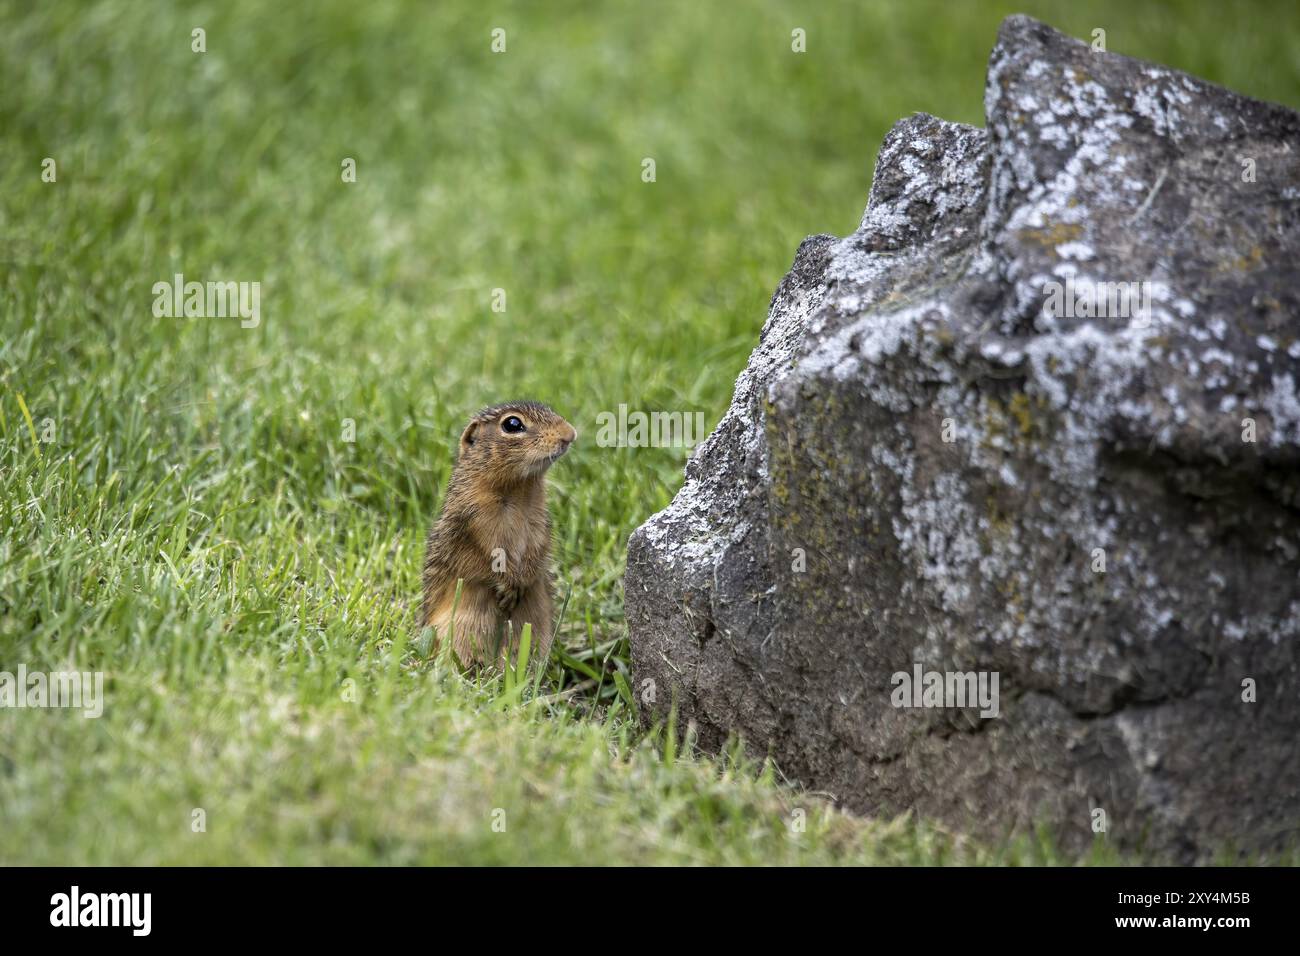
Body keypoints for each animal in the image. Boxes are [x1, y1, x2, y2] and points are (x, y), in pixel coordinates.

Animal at [420, 401, 576, 669]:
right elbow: (489, 554)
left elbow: (538, 549)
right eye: (512, 424)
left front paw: (522, 578)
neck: (519, 490)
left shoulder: (539, 523)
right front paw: (508, 582)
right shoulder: (474, 523)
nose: (570, 433)